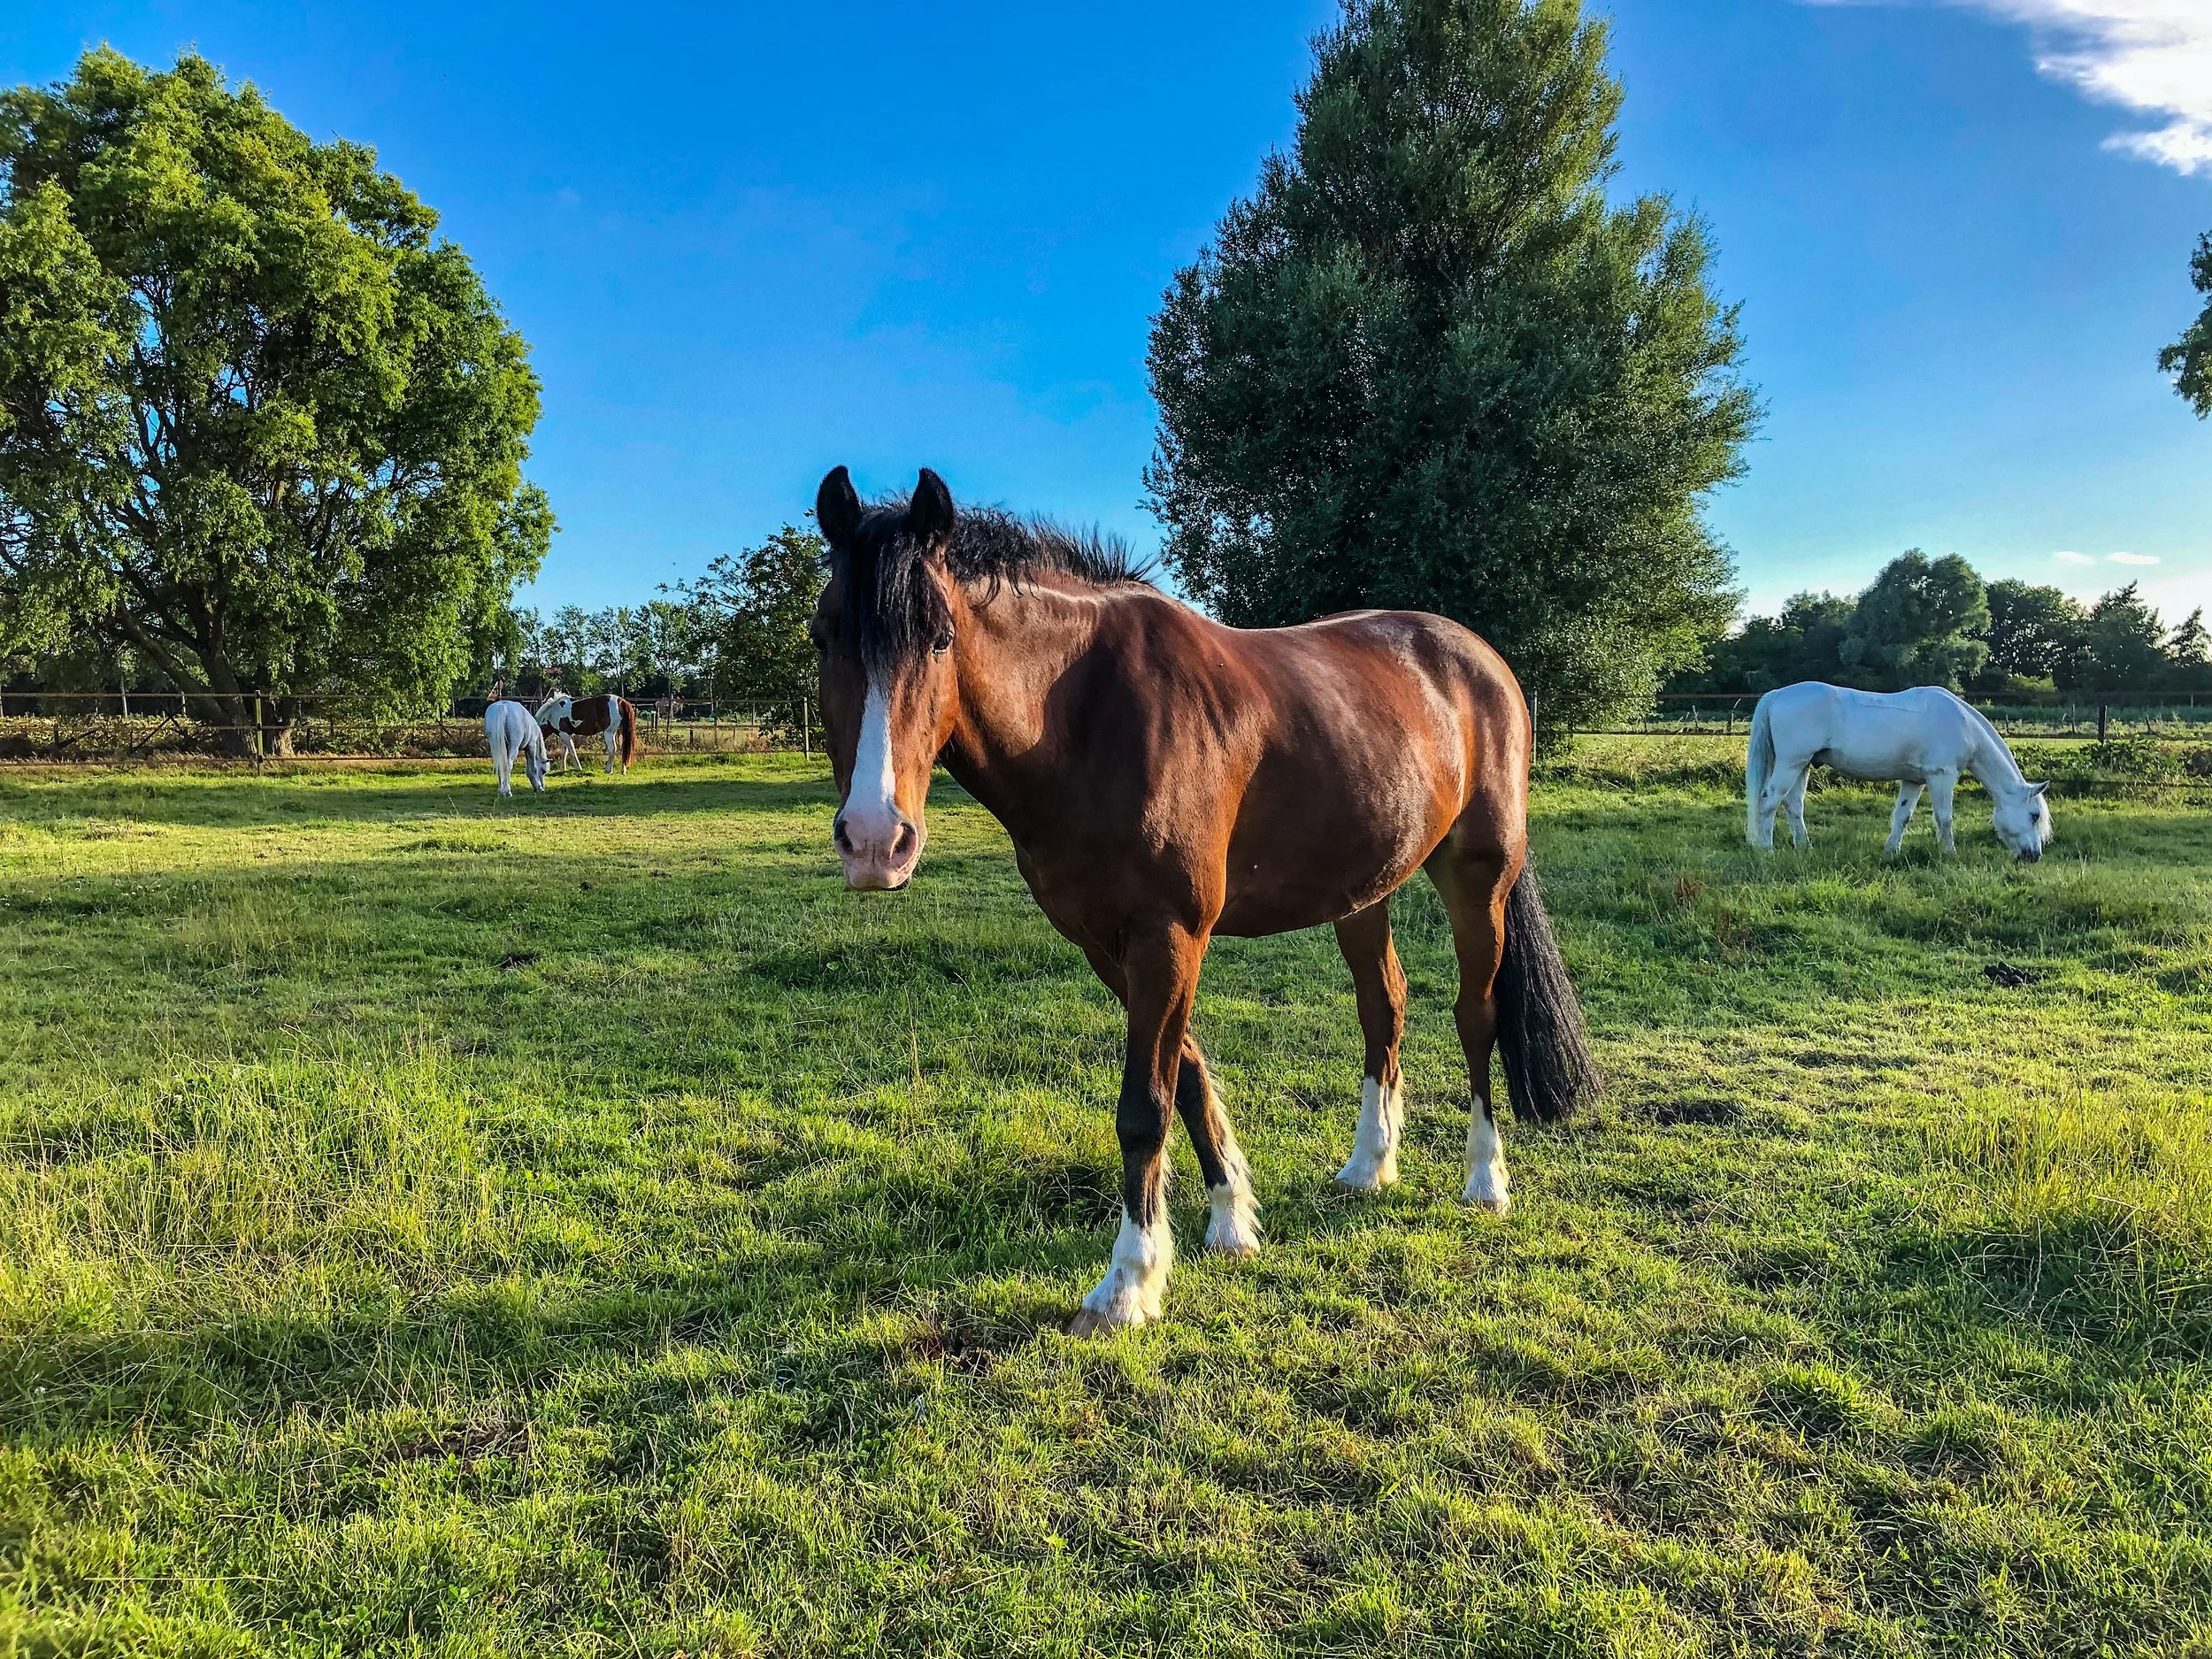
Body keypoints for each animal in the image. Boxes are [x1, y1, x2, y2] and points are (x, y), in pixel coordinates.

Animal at [811, 465, 1602, 1335]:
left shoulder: (1169, 934)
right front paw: (1229, 1221)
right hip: (1363, 890)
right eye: (823, 637)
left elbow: (1144, 1104)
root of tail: (1478, 657)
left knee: (1476, 1013)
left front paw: (1127, 1283)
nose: (874, 840)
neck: (1085, 715)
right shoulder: (1108, 941)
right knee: (1384, 1007)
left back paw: (1485, 1180)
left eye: (940, 637)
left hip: (1478, 875)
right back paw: (1369, 1164)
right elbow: (1185, 1074)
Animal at [1746, 682, 2053, 859]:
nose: (2034, 856)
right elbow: (1944, 818)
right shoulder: (1941, 776)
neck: (1962, 724)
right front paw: (1949, 853)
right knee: (1768, 802)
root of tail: (1776, 695)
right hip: (1791, 763)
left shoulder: (1914, 780)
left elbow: (1902, 817)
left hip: (1802, 765)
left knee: (1793, 805)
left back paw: (1803, 847)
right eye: (2034, 815)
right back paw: (1765, 849)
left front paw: (1891, 851)